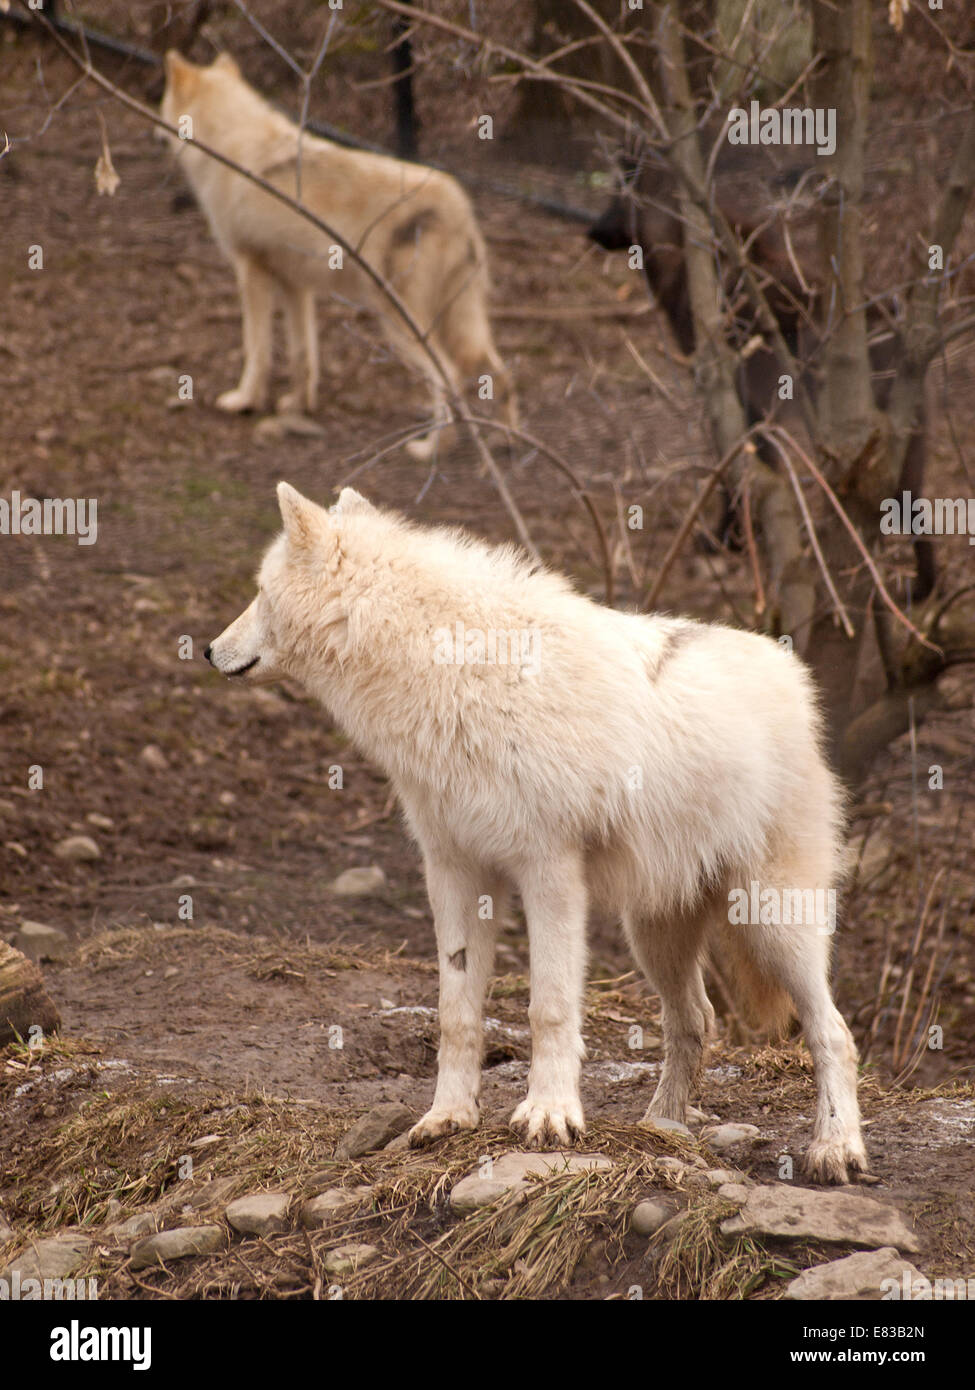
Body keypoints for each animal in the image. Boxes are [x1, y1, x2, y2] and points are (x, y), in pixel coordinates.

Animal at [159, 51, 515, 460]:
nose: (154, 133)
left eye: (161, 99)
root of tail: (458, 205)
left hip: (400, 323)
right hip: (454, 323)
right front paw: (298, 406)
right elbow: (303, 356)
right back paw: (507, 442)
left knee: (450, 376)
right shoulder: (296, 285)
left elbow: (257, 351)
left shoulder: (251, 274)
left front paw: (244, 401)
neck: (230, 142)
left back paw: (431, 449)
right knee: (499, 371)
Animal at [205, 484, 867, 1184]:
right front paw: (447, 1117)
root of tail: (793, 675)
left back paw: (836, 1147)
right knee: (696, 1021)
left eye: (259, 591)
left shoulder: (549, 871)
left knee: (833, 1031)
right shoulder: (453, 872)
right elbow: (457, 1013)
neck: (450, 672)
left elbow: (547, 1007)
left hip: (773, 920)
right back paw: (660, 1127)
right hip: (653, 934)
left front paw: (549, 1115)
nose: (207, 649)